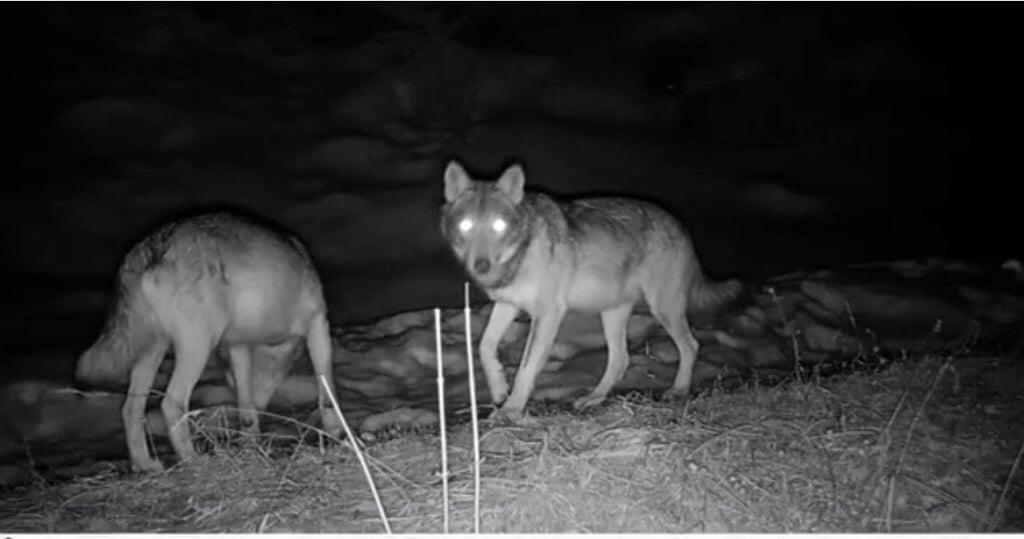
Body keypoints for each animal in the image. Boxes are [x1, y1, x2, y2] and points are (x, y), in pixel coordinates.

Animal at [75, 212, 343, 472]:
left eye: (231, 381)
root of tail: (151, 249)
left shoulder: (238, 346)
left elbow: (246, 407)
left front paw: (250, 444)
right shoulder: (318, 324)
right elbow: (327, 394)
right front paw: (338, 435)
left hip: (153, 352)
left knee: (131, 410)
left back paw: (145, 465)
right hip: (197, 349)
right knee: (170, 404)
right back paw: (192, 460)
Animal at [440, 161, 741, 422]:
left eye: (498, 226)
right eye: (466, 225)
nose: (481, 265)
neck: (522, 253)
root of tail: (682, 227)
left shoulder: (548, 314)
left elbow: (526, 369)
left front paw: (511, 410)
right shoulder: (508, 305)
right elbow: (484, 347)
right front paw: (500, 390)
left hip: (663, 310)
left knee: (691, 346)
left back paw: (678, 390)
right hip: (612, 314)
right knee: (620, 360)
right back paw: (593, 399)